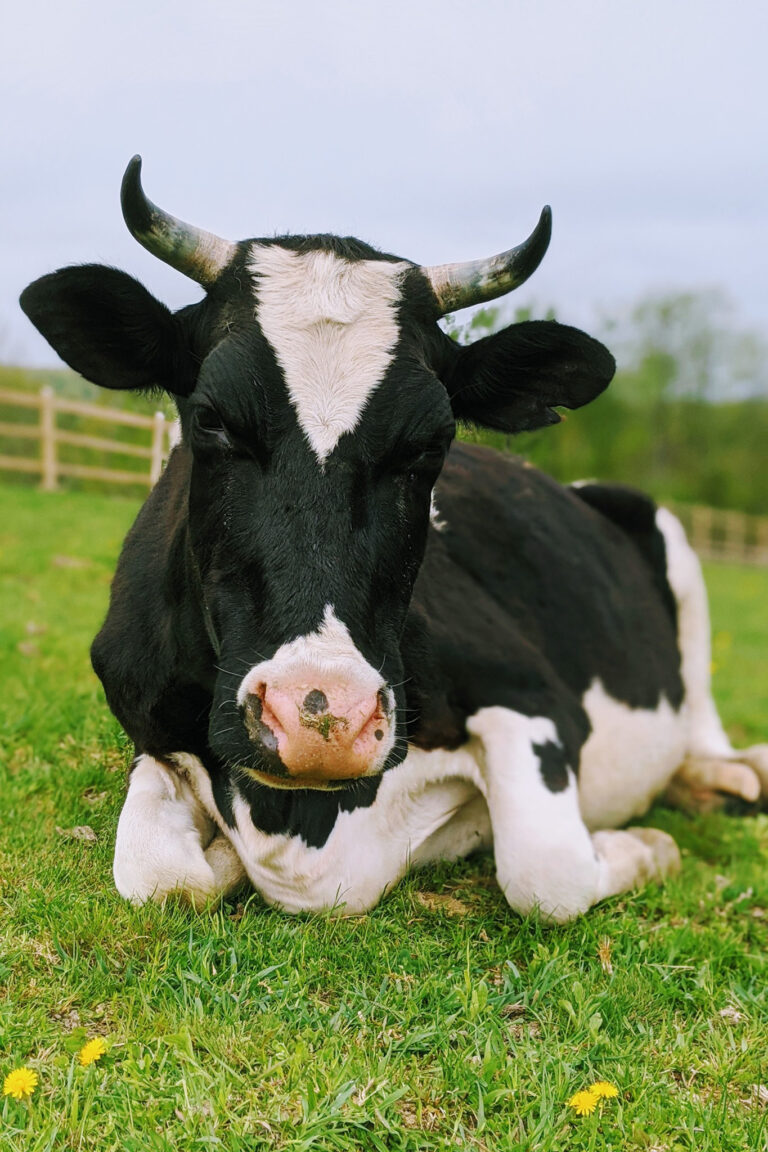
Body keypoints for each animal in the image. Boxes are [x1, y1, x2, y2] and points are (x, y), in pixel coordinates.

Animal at [21, 157, 768, 922]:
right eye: (211, 418)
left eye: (431, 443)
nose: (322, 718)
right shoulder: (148, 722)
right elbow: (159, 877)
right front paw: (223, 859)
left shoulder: (532, 696)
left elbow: (548, 875)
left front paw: (647, 848)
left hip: (673, 547)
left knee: (701, 723)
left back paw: (727, 778)